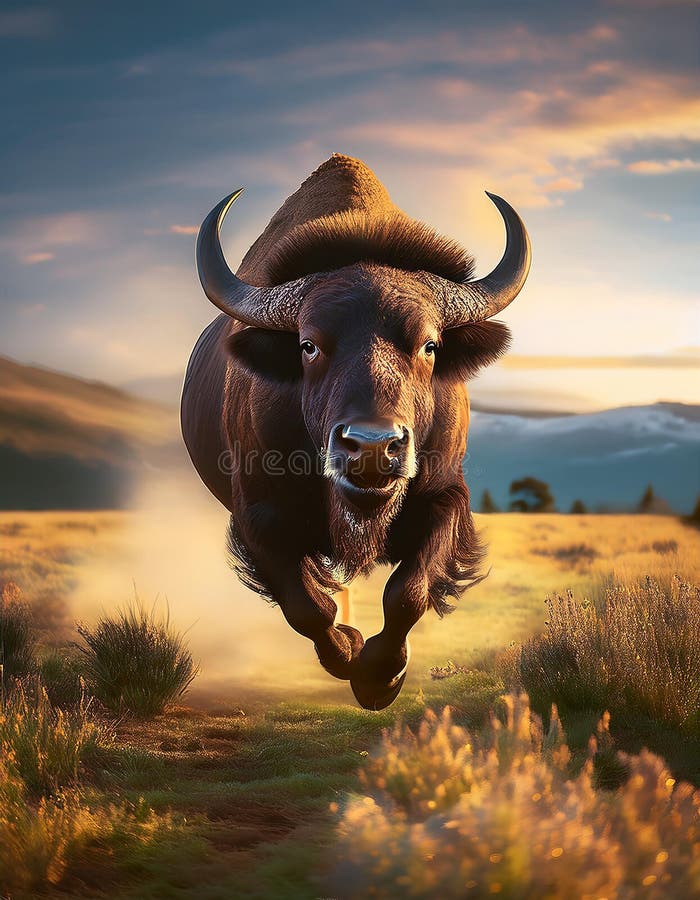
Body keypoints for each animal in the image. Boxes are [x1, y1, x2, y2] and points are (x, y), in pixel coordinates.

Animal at [181, 154, 530, 709]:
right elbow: (307, 606)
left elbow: (407, 592)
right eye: (308, 345)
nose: (372, 447)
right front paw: (349, 653)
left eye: (430, 345)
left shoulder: (445, 498)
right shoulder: (258, 515)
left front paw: (380, 679)